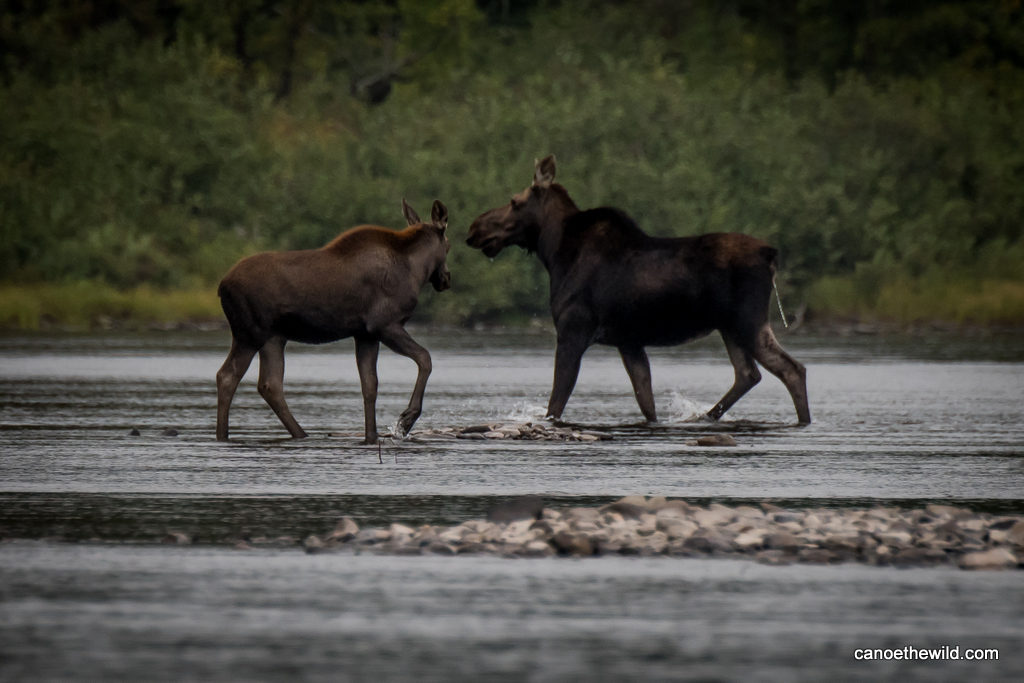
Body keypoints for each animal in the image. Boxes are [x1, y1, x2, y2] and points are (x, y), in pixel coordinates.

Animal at [216, 199, 451, 444]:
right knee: (228, 376)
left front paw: (371, 436)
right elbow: (425, 358)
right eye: (449, 246)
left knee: (269, 384)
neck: (416, 271)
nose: (446, 278)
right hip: (250, 333)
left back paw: (300, 434)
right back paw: (224, 436)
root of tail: (221, 287)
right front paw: (406, 419)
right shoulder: (385, 325)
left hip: (273, 337)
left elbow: (370, 385)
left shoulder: (365, 334)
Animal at [467, 156, 810, 425]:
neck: (553, 253)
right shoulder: (629, 341)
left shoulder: (573, 331)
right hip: (729, 327)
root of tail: (770, 254)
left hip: (748, 321)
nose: (474, 228)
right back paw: (705, 416)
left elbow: (557, 401)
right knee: (748, 374)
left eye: (515, 201)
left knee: (792, 369)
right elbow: (646, 400)